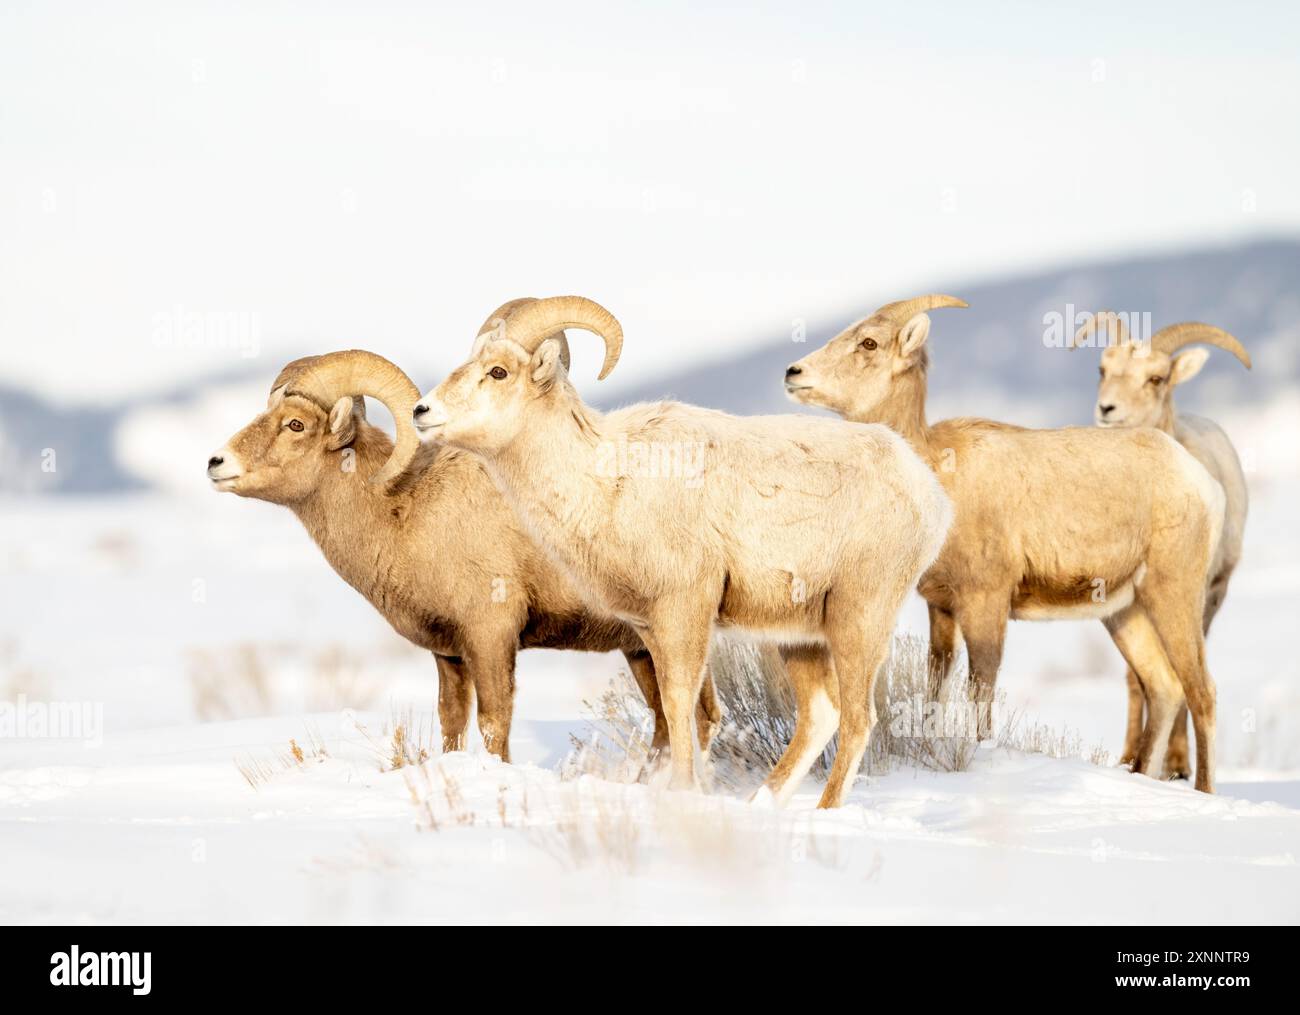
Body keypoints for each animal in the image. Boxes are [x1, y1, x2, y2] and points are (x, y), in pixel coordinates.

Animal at [206, 344, 721, 763]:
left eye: (296, 424)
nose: (216, 463)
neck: (405, 509)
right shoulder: (449, 655)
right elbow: (451, 727)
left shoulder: (490, 636)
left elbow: (494, 725)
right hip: (642, 648)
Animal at [412, 295, 954, 808]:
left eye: (498, 372)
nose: (422, 412)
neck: (607, 481)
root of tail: (924, 485)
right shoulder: (650, 630)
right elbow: (675, 715)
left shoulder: (683, 612)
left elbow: (678, 708)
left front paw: (684, 791)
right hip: (798, 635)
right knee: (822, 714)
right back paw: (761, 804)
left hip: (859, 618)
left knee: (860, 719)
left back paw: (824, 811)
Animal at [784, 295, 1226, 792]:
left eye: (869, 343)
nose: (794, 373)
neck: (940, 475)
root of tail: (1200, 480)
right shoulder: (941, 609)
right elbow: (937, 686)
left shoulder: (985, 603)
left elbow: (981, 691)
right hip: (1123, 613)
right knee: (1164, 687)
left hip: (1173, 596)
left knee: (1201, 691)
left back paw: (1205, 790)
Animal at [1072, 311, 1251, 779]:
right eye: (1102, 368)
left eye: (1157, 377)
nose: (1107, 409)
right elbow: (1138, 679)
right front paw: (1130, 757)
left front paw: (1176, 764)